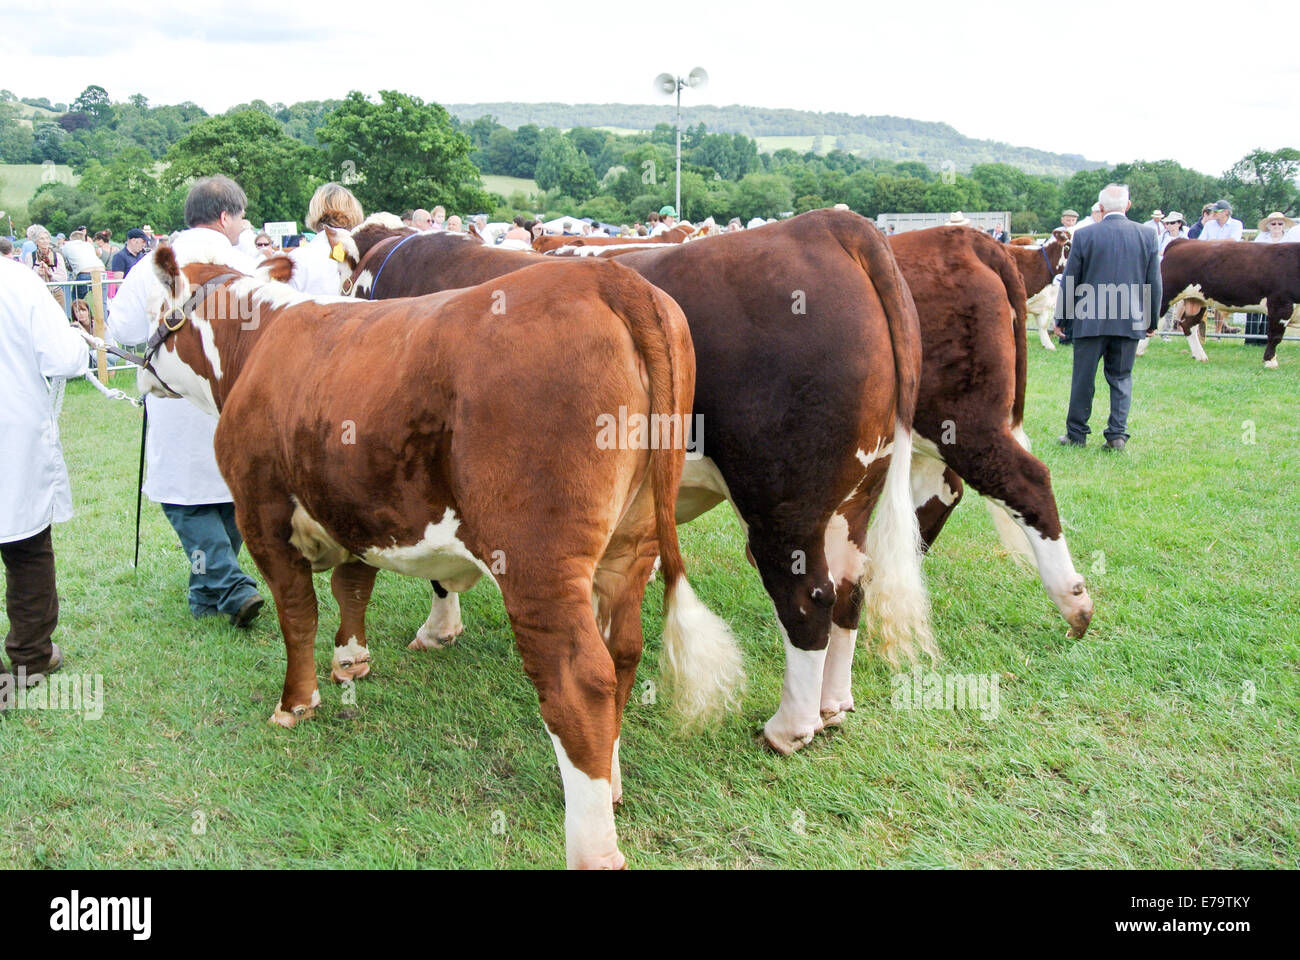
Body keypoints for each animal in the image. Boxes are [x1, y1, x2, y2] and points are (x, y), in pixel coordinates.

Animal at [140, 245, 743, 869]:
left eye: (153, 306)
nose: (138, 368)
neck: (257, 345)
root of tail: (606, 277)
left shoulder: (260, 514)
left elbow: (297, 613)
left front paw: (296, 703)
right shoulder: (356, 506)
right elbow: (352, 585)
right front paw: (350, 661)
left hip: (537, 561)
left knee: (581, 681)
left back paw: (592, 847)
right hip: (632, 543)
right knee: (623, 652)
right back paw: (614, 781)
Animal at [331, 208, 934, 756]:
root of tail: (830, 224)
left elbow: (433, 573)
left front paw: (435, 630)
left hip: (782, 503)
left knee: (809, 599)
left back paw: (789, 728)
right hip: (858, 492)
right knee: (852, 588)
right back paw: (833, 705)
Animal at [1152, 239, 1300, 367]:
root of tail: (1182, 241)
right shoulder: (1280, 304)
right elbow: (1275, 336)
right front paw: (1270, 361)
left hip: (1198, 301)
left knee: (1188, 325)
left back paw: (1200, 355)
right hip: (1165, 294)